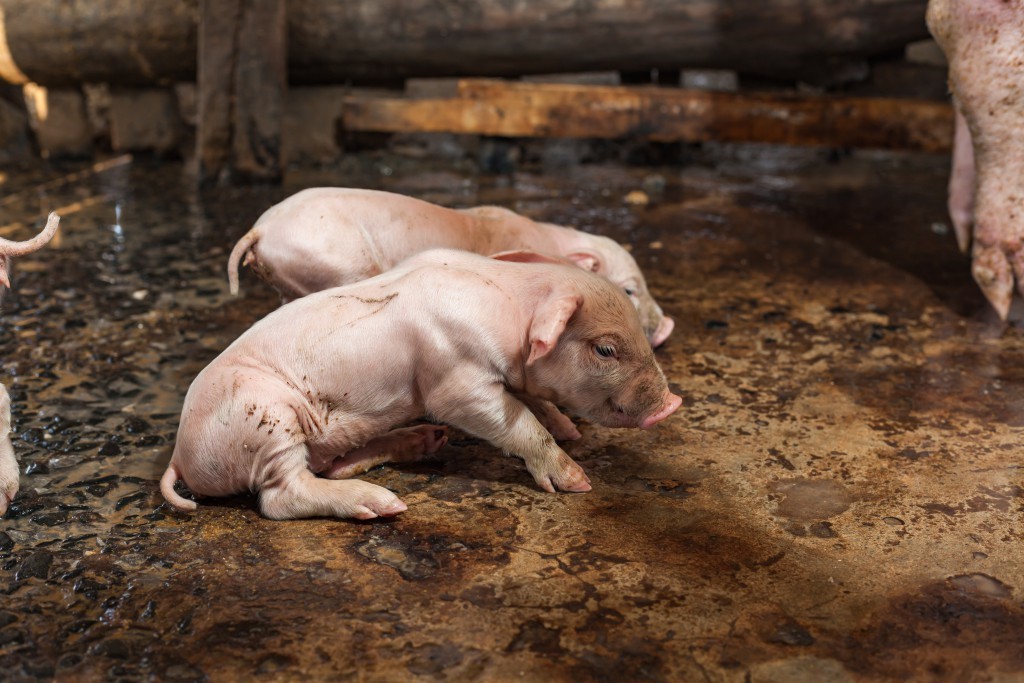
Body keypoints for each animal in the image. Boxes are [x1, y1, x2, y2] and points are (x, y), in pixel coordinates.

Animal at [162, 248, 681, 520]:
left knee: (327, 467)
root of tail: (180, 456)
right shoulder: (456, 380)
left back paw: (425, 441)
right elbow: (517, 421)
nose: (672, 403)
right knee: (280, 496)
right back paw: (386, 505)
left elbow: (534, 402)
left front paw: (569, 429)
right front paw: (577, 481)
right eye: (606, 350)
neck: (509, 312)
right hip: (265, 420)